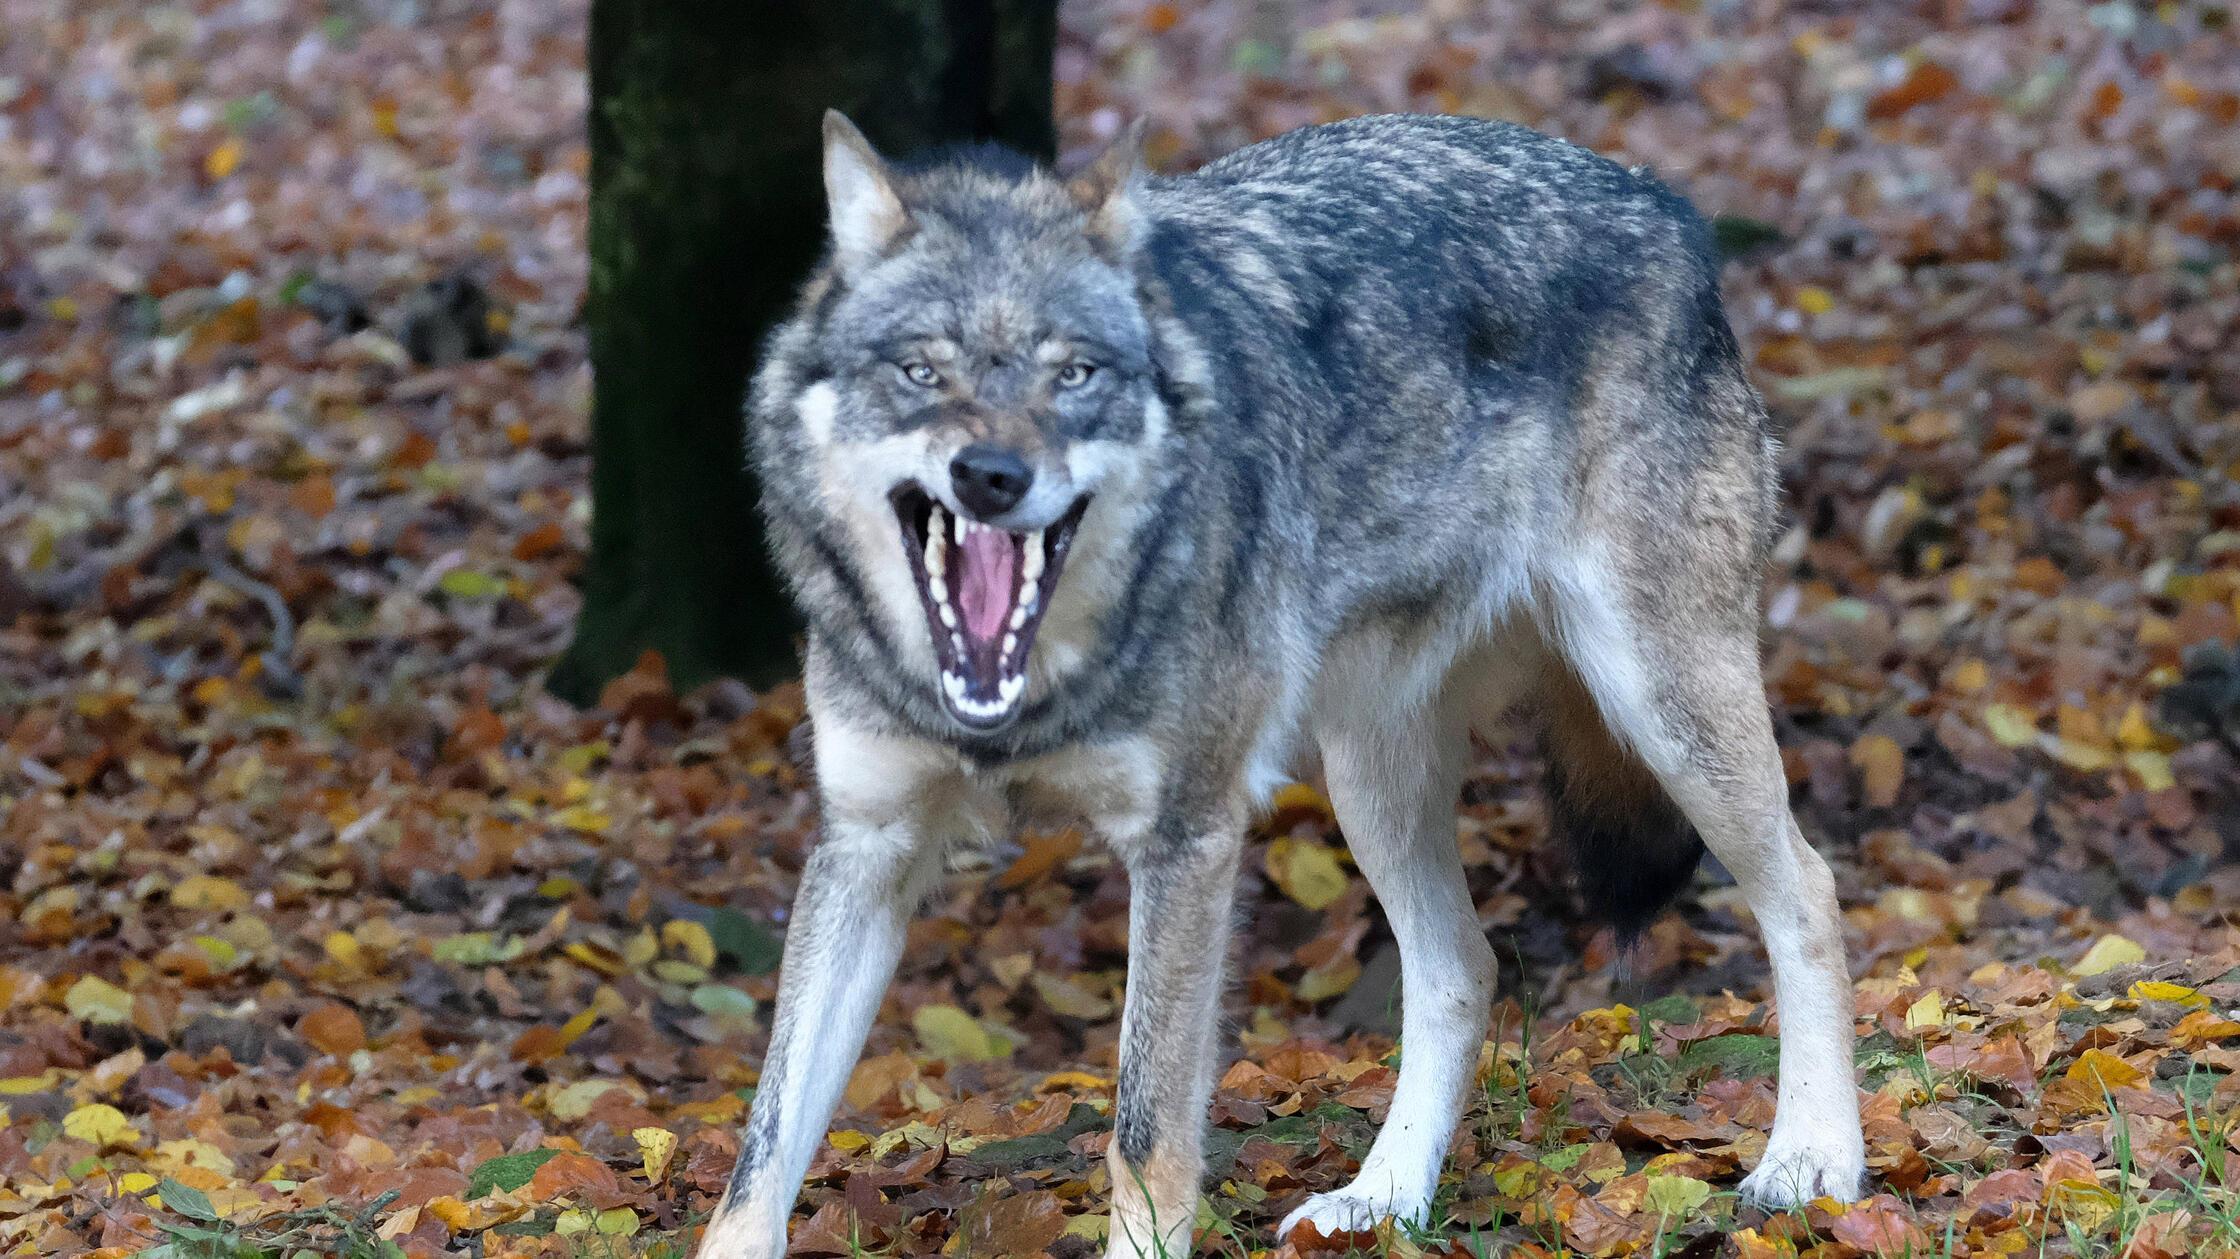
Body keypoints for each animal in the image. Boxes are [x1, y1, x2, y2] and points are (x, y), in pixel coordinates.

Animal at [696, 111, 1866, 1259]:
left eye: (1074, 374)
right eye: (920, 372)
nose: (992, 475)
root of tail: (1660, 201)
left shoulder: (1186, 843)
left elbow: (1144, 1132)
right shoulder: (864, 849)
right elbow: (758, 1156)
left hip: (1662, 706)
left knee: (1807, 889)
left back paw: (1813, 1161)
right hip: (1371, 778)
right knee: (1463, 967)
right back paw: (1383, 1198)